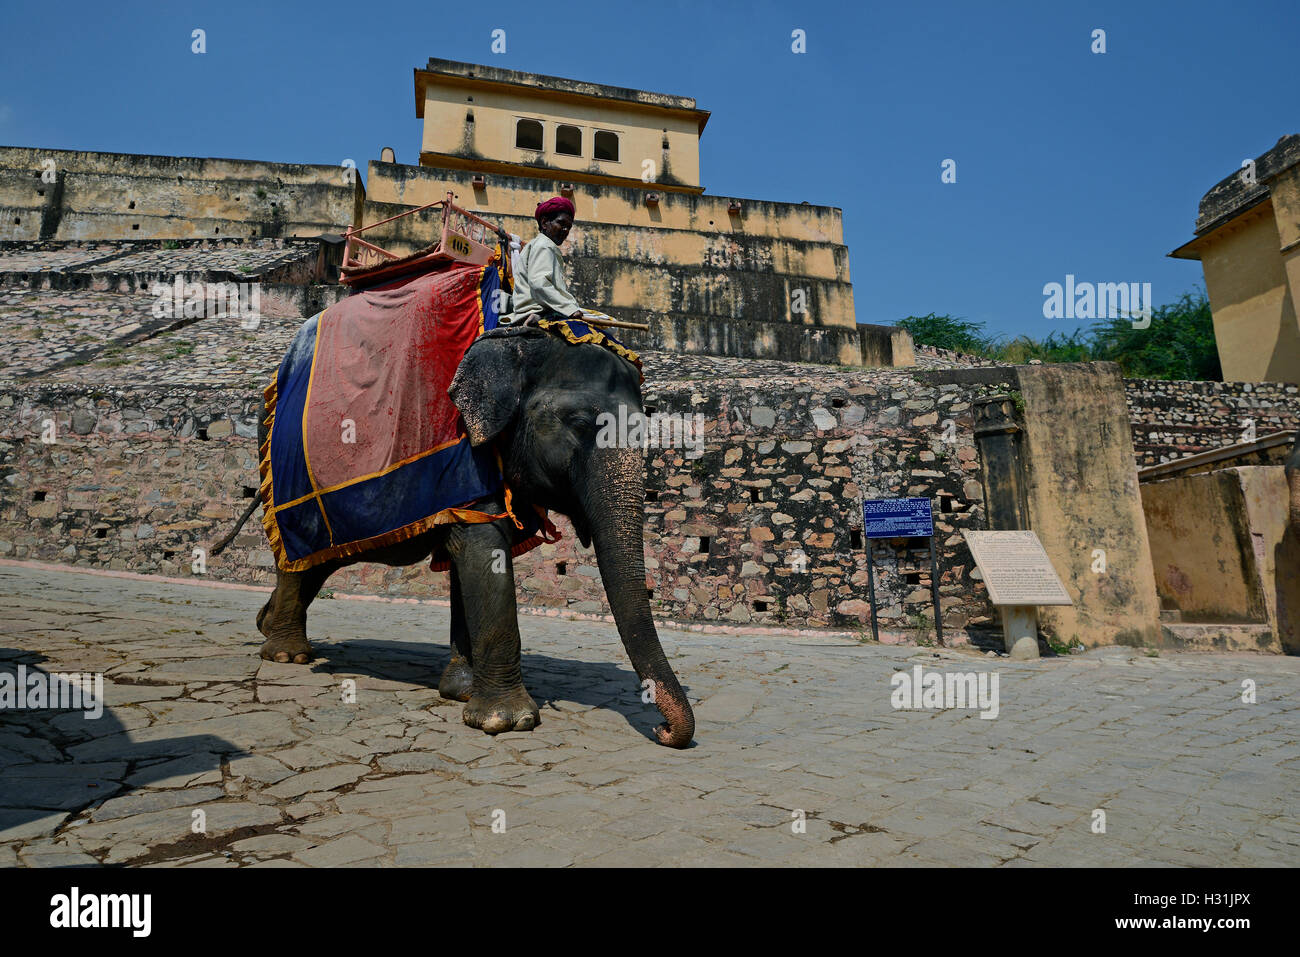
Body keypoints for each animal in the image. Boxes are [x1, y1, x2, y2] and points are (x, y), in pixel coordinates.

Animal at [240, 324, 694, 748]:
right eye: (582, 423)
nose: (662, 731)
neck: (522, 340)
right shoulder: (467, 457)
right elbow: (481, 548)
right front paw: (507, 721)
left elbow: (471, 561)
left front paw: (460, 691)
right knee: (302, 558)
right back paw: (287, 654)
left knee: (318, 562)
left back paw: (265, 624)